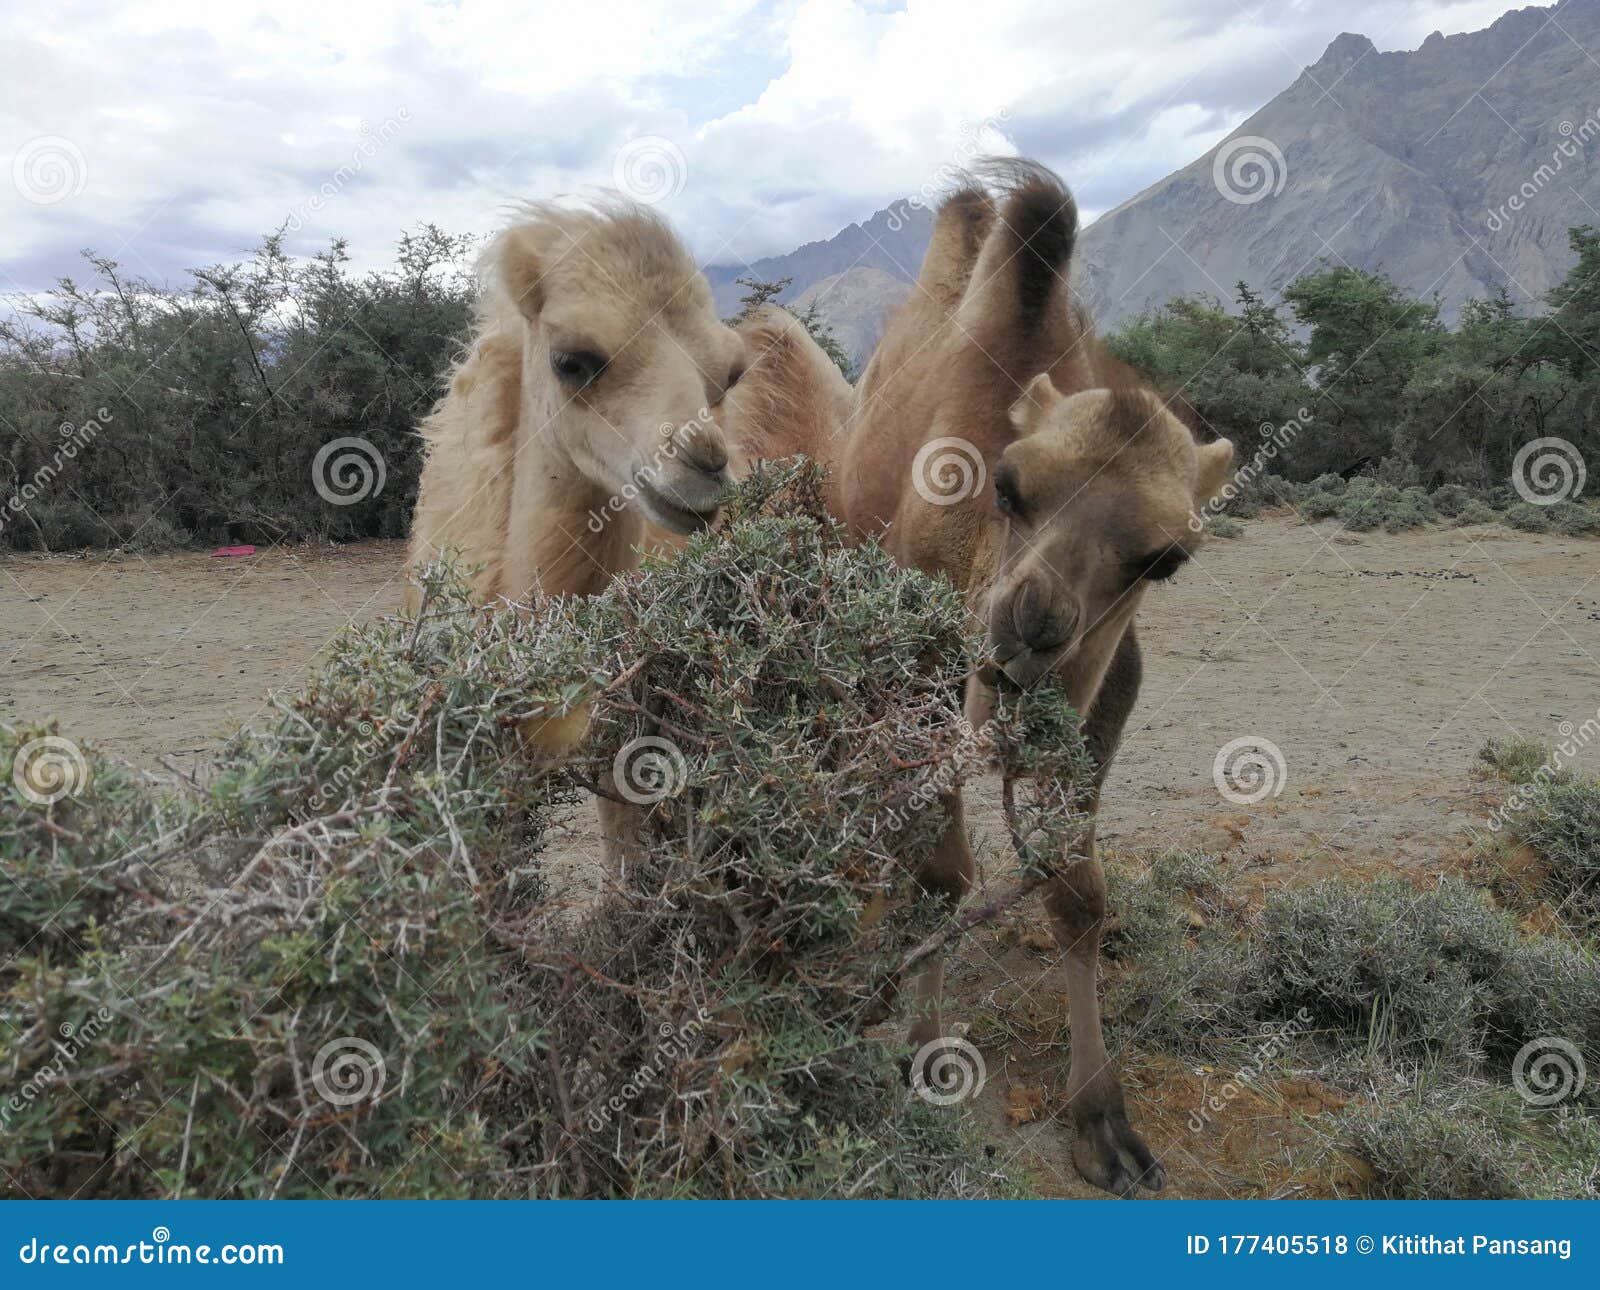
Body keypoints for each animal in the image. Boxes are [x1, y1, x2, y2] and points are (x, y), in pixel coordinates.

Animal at [824, 161, 1236, 1195]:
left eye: (1165, 558)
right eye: (1007, 487)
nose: (1026, 636)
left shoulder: (1105, 698)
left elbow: (1075, 891)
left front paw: (1103, 1117)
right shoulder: (921, 681)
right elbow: (941, 874)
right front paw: (924, 1044)